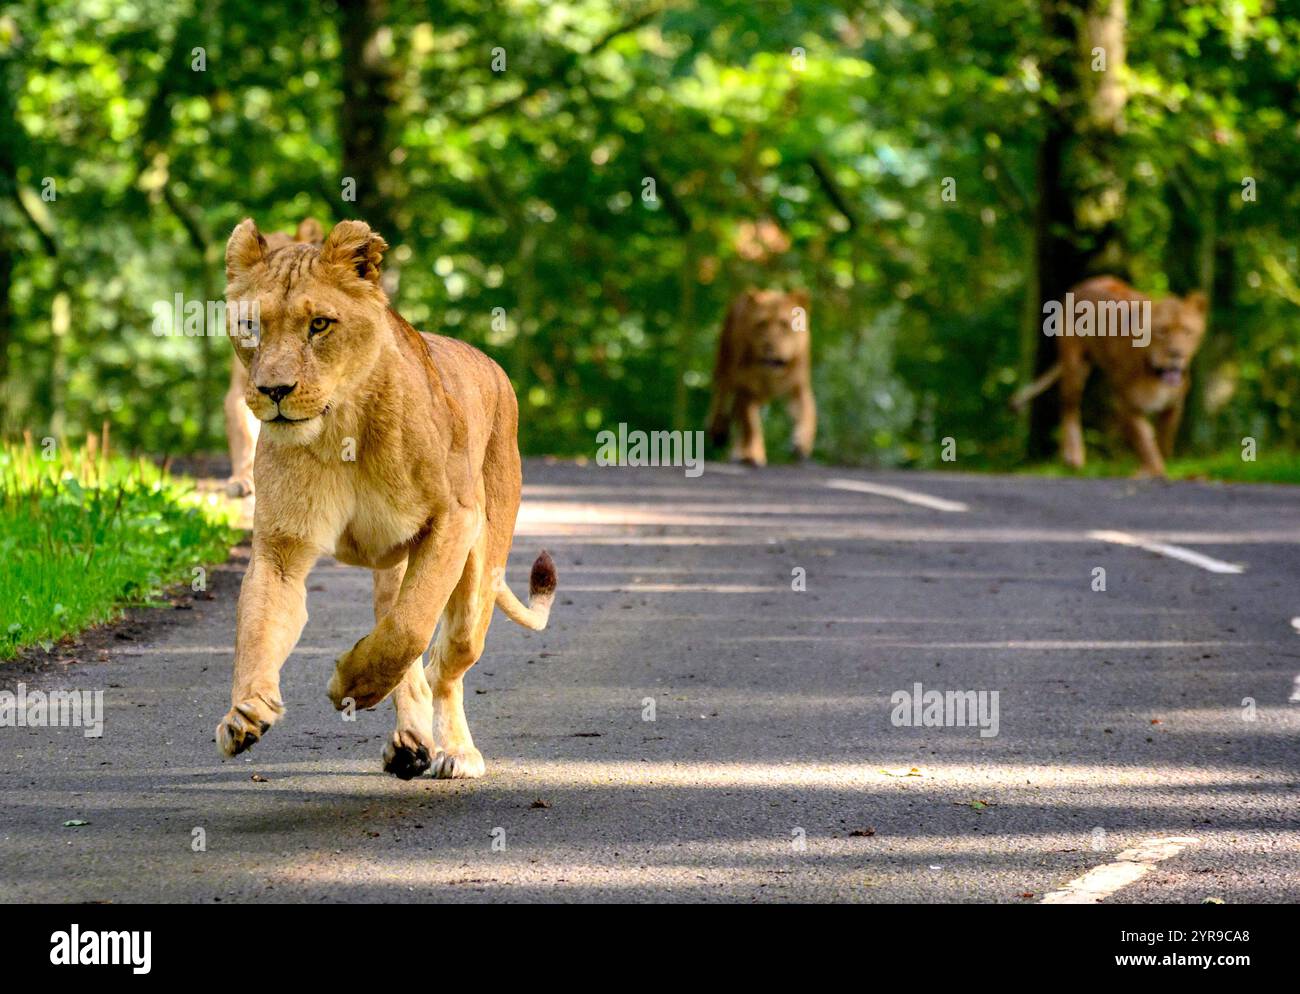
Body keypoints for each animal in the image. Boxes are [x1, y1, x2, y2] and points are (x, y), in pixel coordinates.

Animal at [707, 289, 815, 466]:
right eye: (761, 324)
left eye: (784, 324)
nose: (768, 345)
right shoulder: (745, 388)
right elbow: (750, 425)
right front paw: (752, 454)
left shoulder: (798, 386)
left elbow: (808, 412)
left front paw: (802, 443)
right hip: (725, 365)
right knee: (721, 396)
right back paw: (719, 432)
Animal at [1011, 275, 1208, 477]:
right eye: (1161, 331)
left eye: (1188, 332)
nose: (1176, 354)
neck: (1154, 373)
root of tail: (1084, 284)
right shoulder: (1124, 404)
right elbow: (1143, 442)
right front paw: (1150, 470)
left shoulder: (1174, 404)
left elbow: (1163, 441)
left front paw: (1155, 464)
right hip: (1074, 366)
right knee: (1069, 407)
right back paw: (1073, 456)